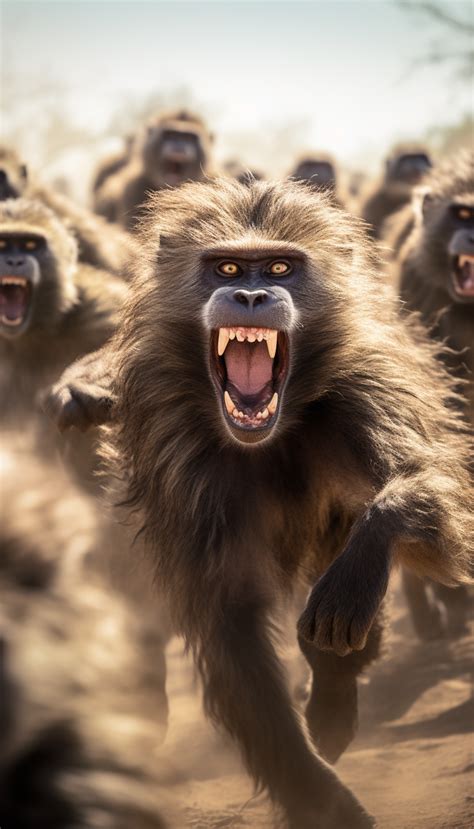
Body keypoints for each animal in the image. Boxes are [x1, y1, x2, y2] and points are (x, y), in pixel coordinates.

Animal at [44, 178, 472, 829]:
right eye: (226, 267)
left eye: (279, 267)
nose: (249, 294)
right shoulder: (184, 463)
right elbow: (233, 633)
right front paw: (323, 802)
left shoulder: (366, 397)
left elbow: (427, 495)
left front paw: (355, 581)